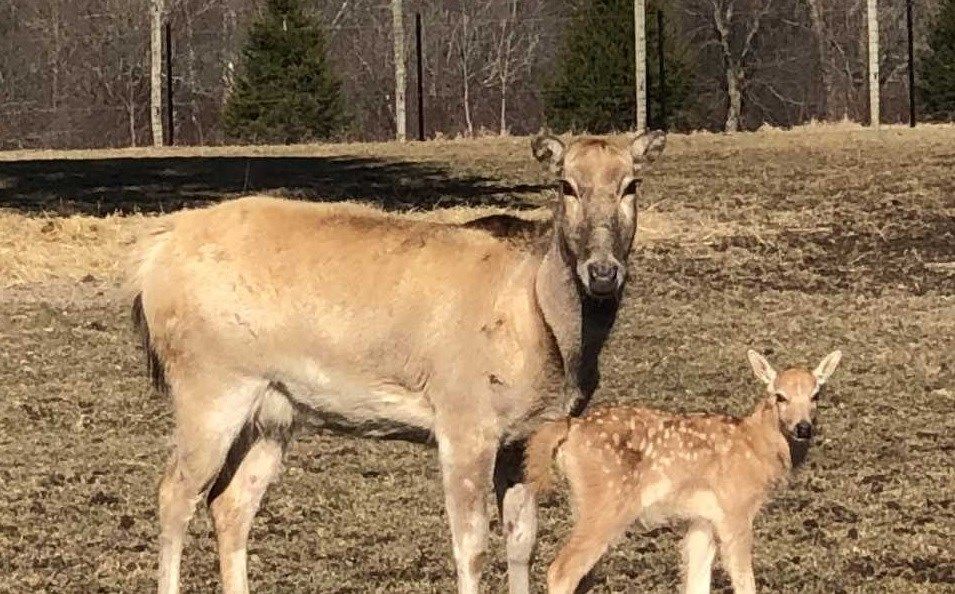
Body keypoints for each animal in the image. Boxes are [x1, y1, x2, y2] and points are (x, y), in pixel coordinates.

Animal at [127, 131, 667, 594]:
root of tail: (152, 260)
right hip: (211, 385)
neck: (544, 330)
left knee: (230, 504)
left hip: (273, 411)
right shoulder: (464, 418)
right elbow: (471, 547)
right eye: (566, 185)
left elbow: (522, 543)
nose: (603, 271)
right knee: (174, 494)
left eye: (631, 184)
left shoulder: (528, 435)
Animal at [525, 349, 843, 594]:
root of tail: (571, 428)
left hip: (586, 504)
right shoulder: (735, 510)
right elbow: (744, 581)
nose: (803, 427)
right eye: (779, 396)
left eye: (816, 395)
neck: (755, 447)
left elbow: (697, 580)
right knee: (561, 570)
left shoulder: (703, 518)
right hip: (608, 502)